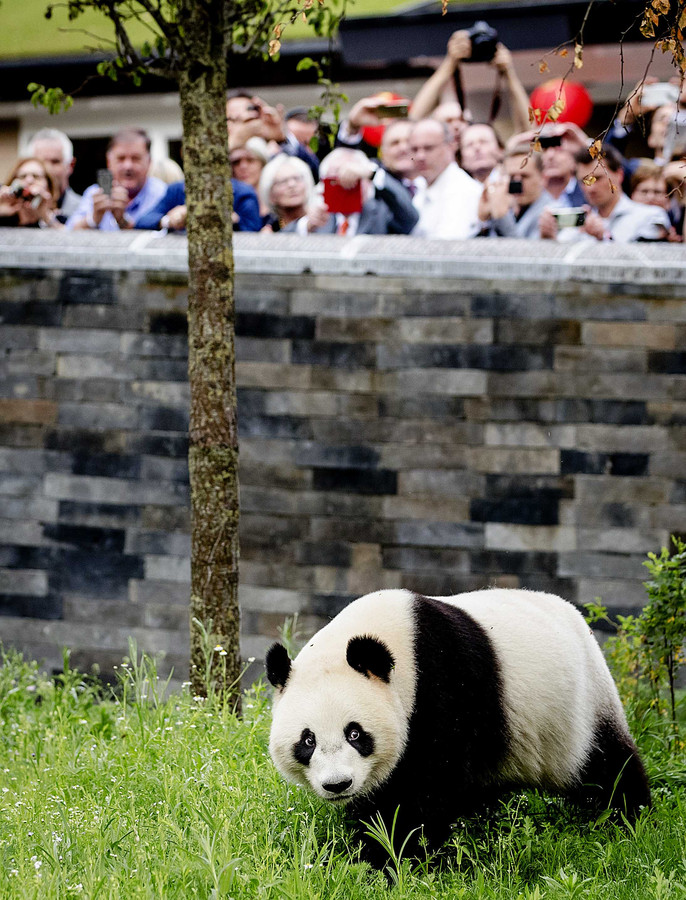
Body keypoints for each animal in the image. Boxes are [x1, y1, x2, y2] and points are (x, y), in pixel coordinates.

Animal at [265, 588, 650, 865]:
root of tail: (578, 619)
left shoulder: (443, 690)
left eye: (355, 733)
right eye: (308, 740)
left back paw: (629, 821)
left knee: (608, 769)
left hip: (576, 711)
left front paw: (397, 858)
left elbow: (425, 790)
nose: (337, 784)